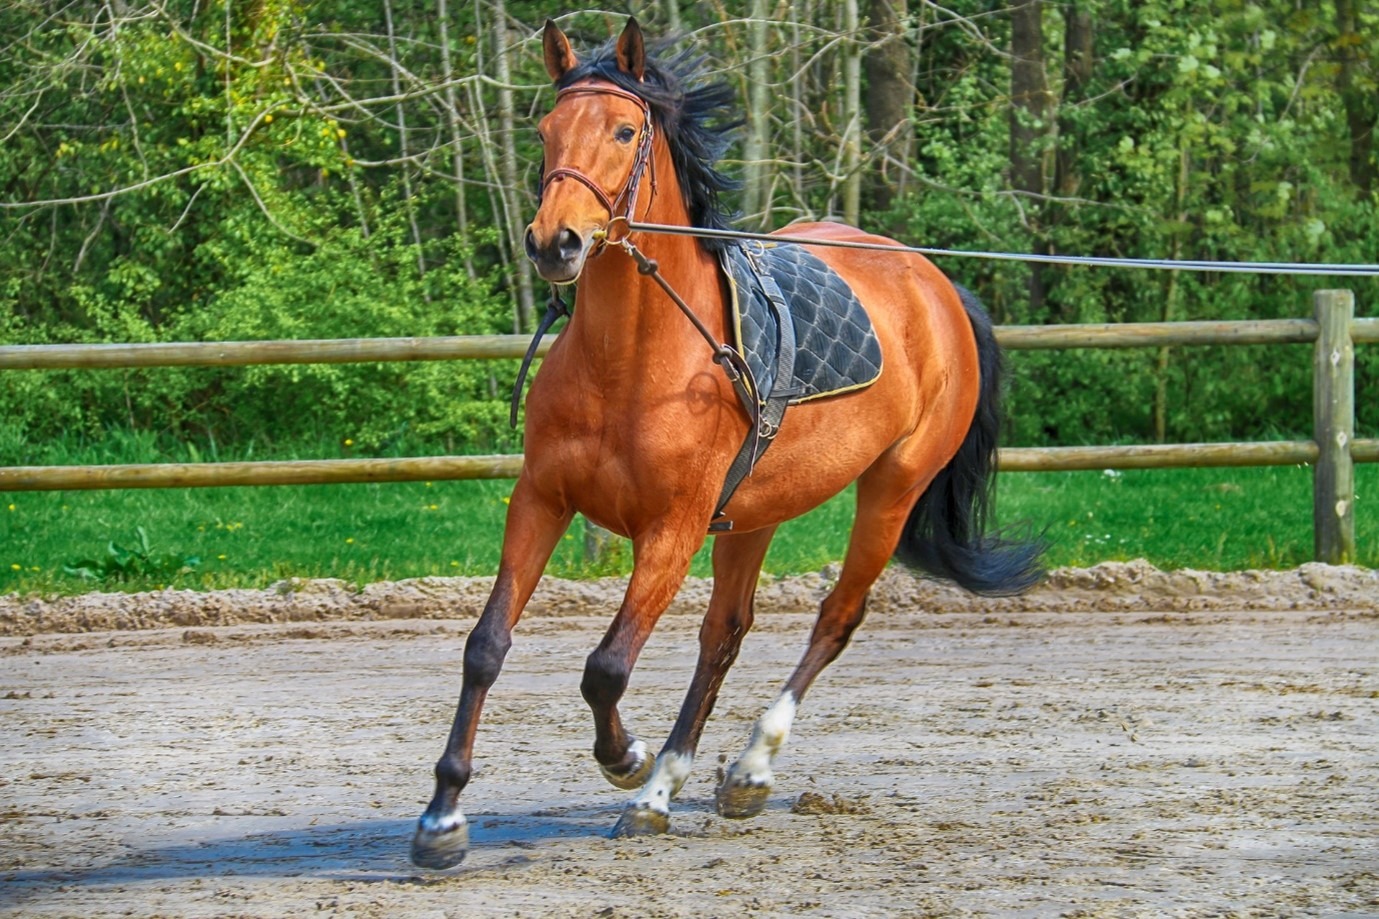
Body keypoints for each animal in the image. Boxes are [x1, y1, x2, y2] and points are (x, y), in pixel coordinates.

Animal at [410, 17, 1043, 869]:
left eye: (624, 130)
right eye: (544, 130)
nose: (555, 243)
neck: (631, 362)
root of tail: (933, 283)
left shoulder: (670, 529)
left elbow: (605, 667)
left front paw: (625, 756)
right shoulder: (540, 500)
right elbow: (485, 645)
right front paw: (442, 817)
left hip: (891, 488)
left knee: (835, 617)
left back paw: (743, 769)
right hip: (754, 513)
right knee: (724, 635)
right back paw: (663, 791)